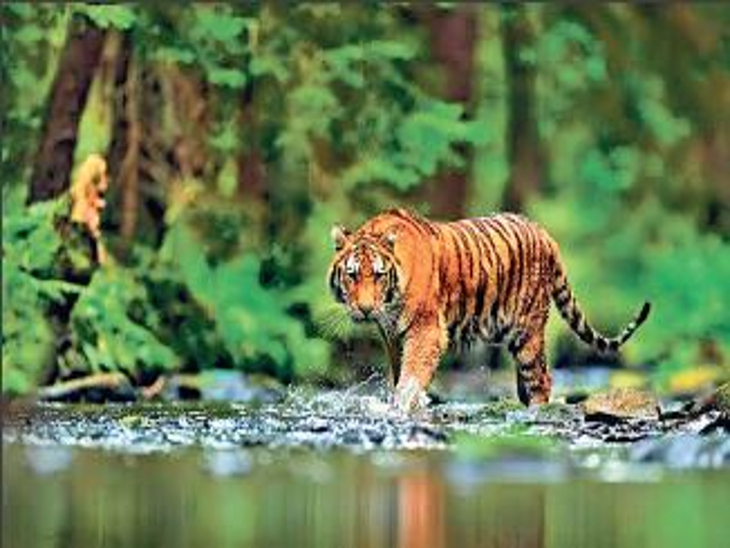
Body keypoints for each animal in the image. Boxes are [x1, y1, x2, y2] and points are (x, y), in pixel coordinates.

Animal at [327, 207, 651, 412]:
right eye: (352, 275)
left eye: (379, 275)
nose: (365, 309)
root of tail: (545, 234)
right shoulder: (393, 336)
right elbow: (399, 372)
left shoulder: (426, 331)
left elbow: (411, 376)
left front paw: (403, 406)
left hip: (527, 332)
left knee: (542, 381)